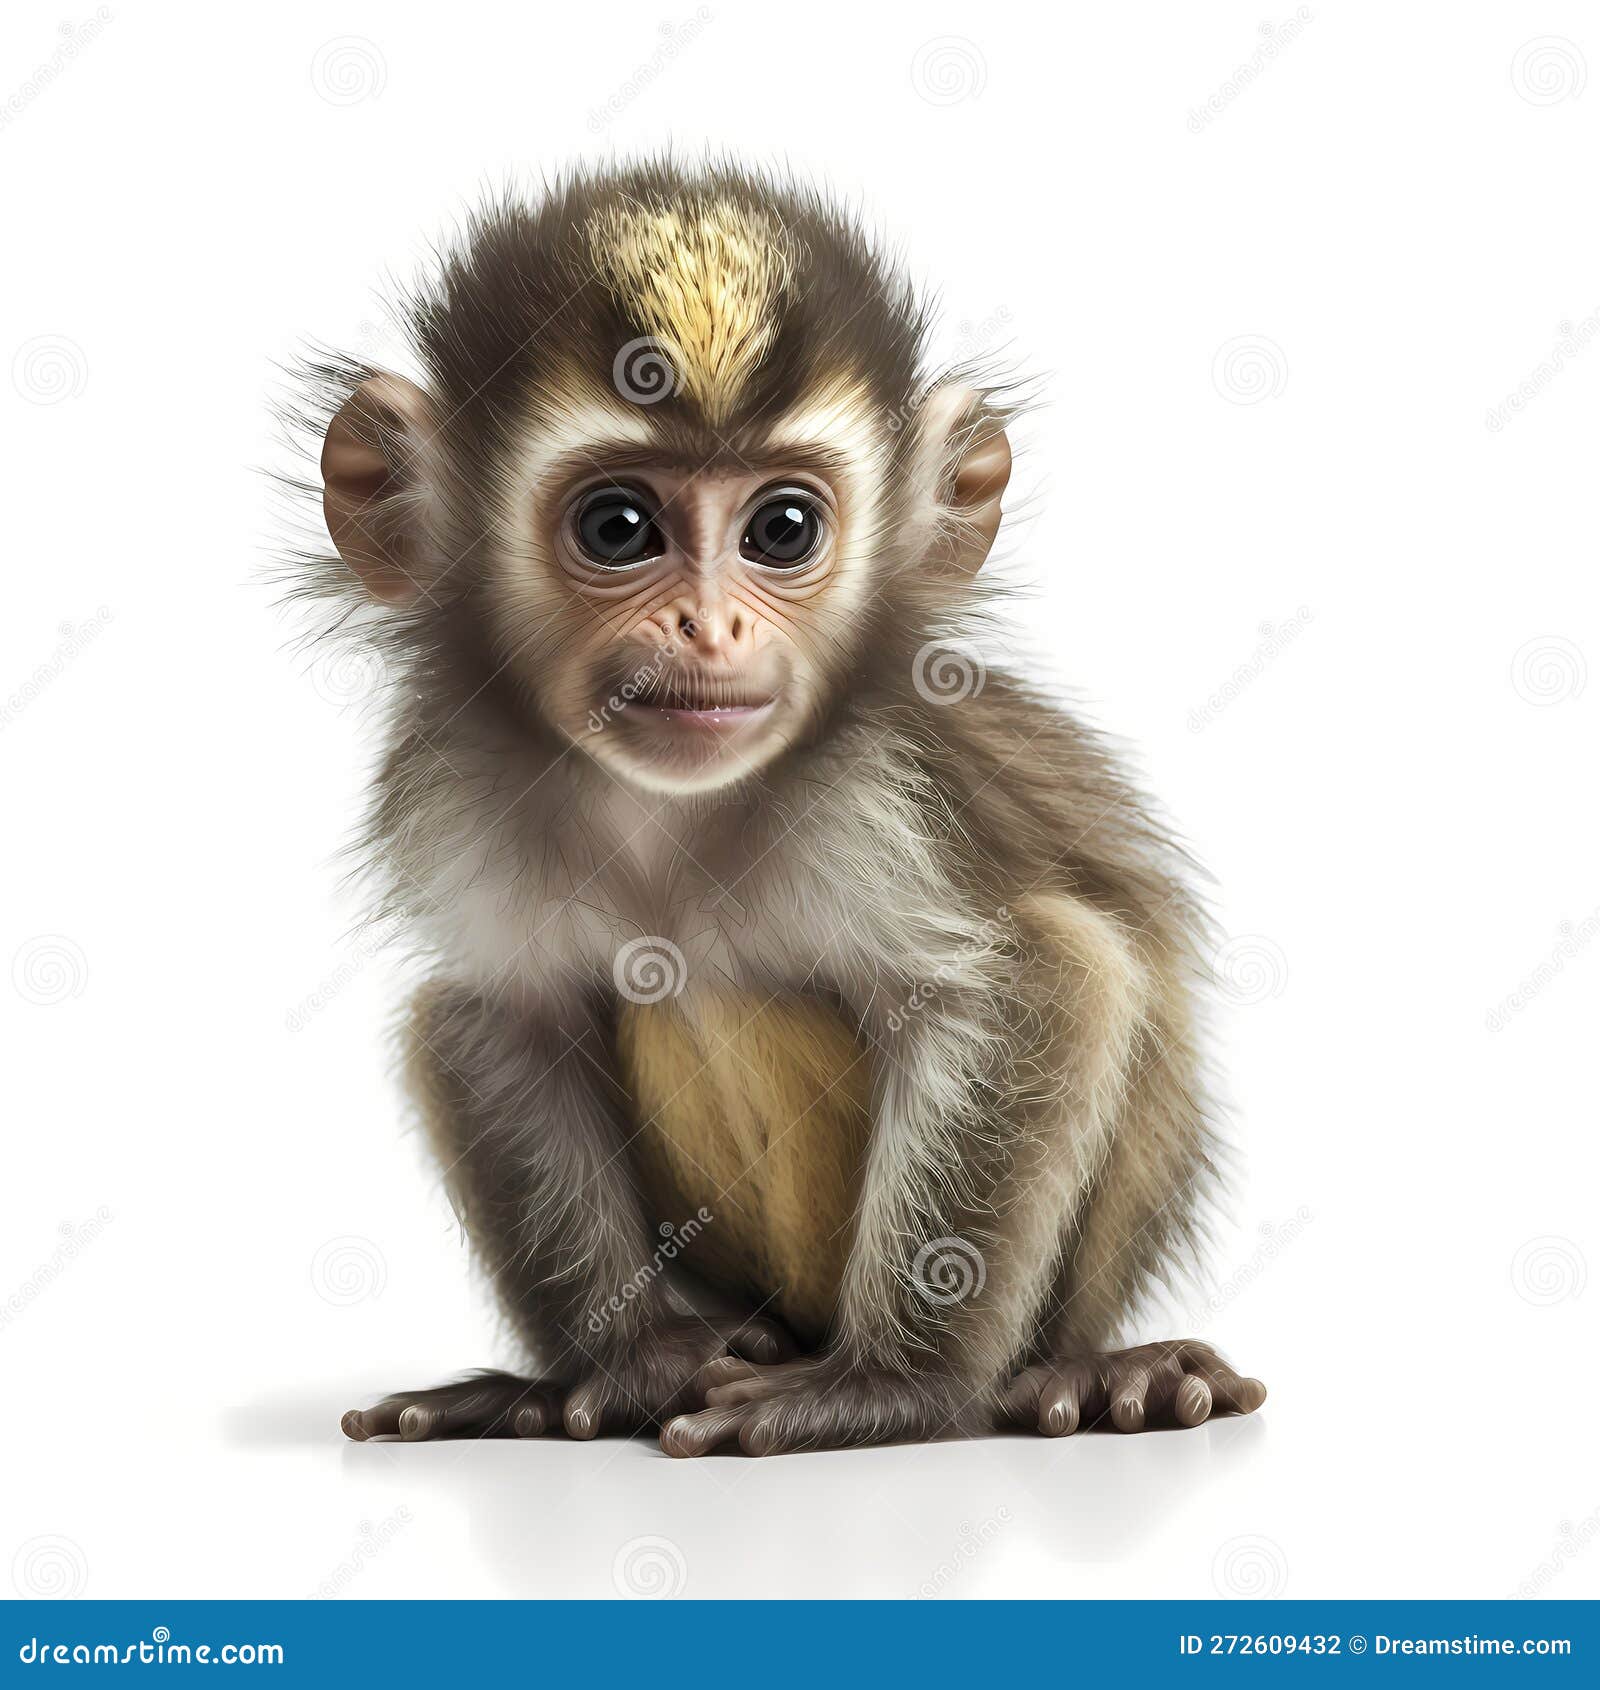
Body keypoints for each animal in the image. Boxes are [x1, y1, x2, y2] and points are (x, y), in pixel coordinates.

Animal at [290, 159, 1266, 1456]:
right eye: (619, 526)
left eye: (782, 528)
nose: (710, 627)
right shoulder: (455, 789)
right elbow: (497, 1013)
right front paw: (626, 1366)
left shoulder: (880, 792)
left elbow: (1045, 974)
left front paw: (886, 1387)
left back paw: (1107, 1371)